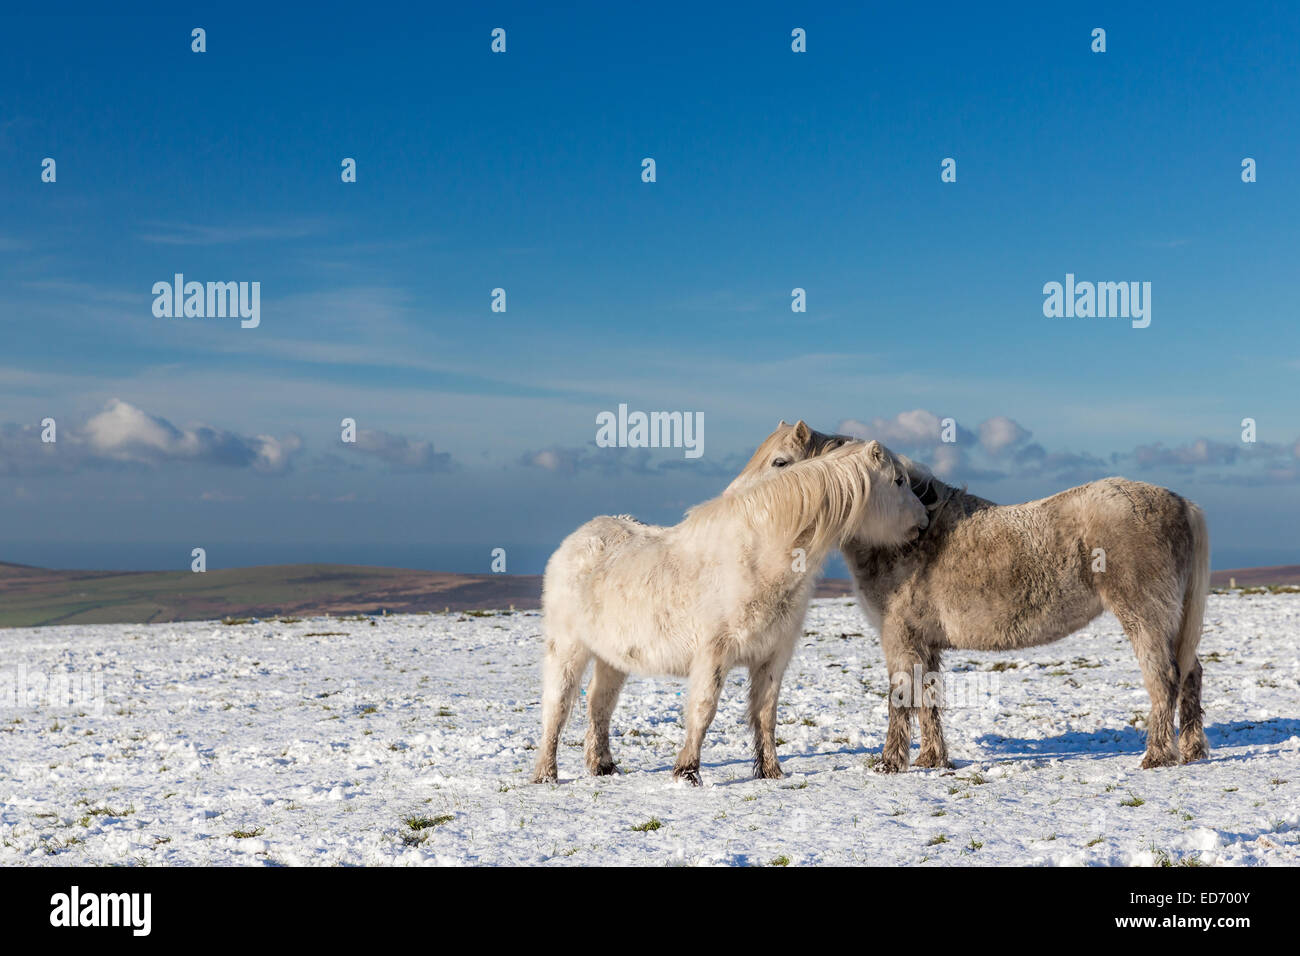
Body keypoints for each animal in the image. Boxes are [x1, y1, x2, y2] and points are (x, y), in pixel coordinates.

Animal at [532, 439, 929, 786]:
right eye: (898, 480)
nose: (924, 520)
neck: (759, 560)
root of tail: (575, 541)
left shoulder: (773, 657)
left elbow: (765, 713)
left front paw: (770, 772)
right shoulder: (714, 654)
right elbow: (704, 709)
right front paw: (687, 773)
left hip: (611, 656)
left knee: (600, 704)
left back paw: (602, 766)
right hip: (568, 648)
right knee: (558, 705)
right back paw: (546, 774)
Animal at [727, 420, 1211, 772]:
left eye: (780, 462)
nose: (736, 501)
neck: (906, 535)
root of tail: (1182, 503)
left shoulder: (899, 637)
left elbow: (901, 697)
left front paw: (889, 763)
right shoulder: (923, 642)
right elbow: (928, 698)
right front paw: (932, 759)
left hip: (1144, 617)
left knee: (1164, 679)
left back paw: (1156, 756)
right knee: (1190, 674)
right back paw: (1192, 750)